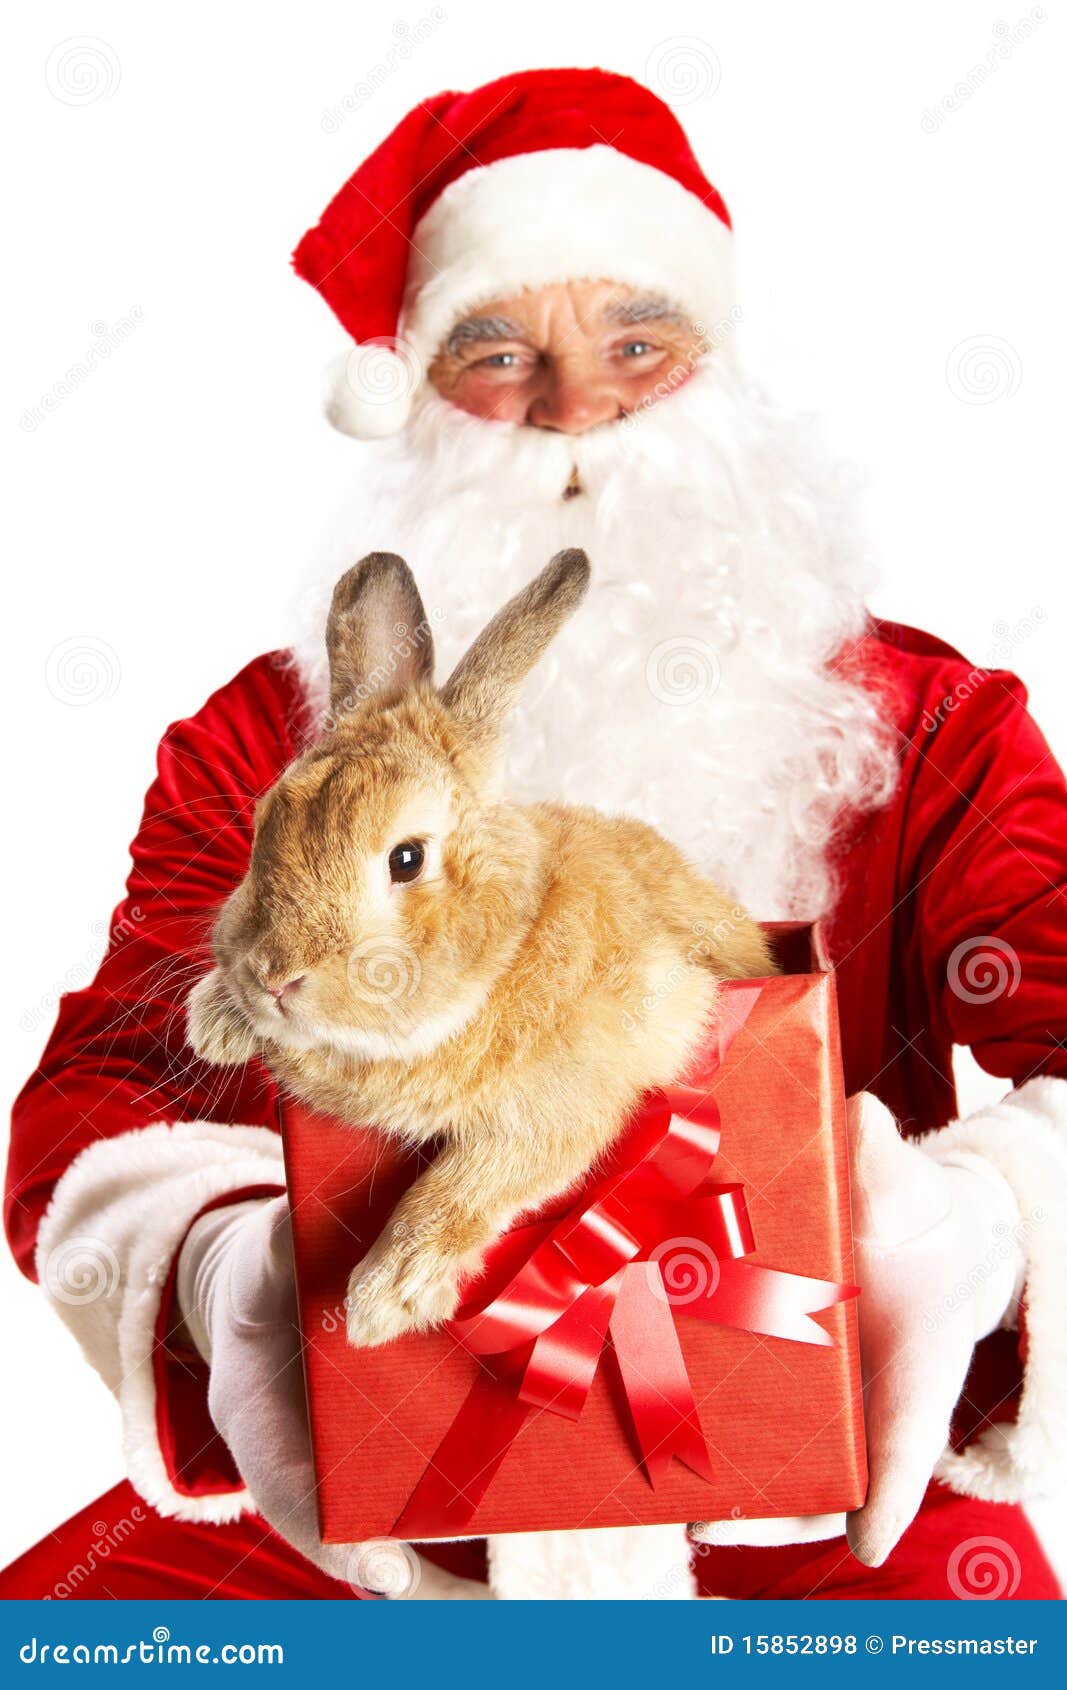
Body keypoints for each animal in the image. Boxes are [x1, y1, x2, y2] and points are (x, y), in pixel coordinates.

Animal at [186, 548, 776, 1348]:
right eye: (262, 821)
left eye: (406, 859)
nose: (275, 977)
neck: (504, 956)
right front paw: (214, 1022)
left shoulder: (564, 1107)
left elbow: (472, 1181)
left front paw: (383, 1298)